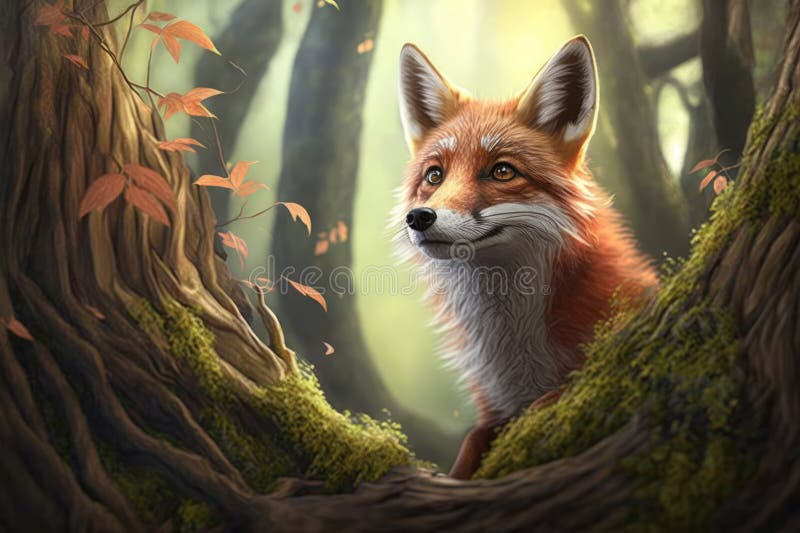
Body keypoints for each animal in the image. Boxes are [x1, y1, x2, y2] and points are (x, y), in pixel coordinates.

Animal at [394, 36, 658, 479]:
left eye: (502, 171)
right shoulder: (493, 408)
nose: (419, 218)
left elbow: (544, 402)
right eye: (434, 176)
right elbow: (469, 446)